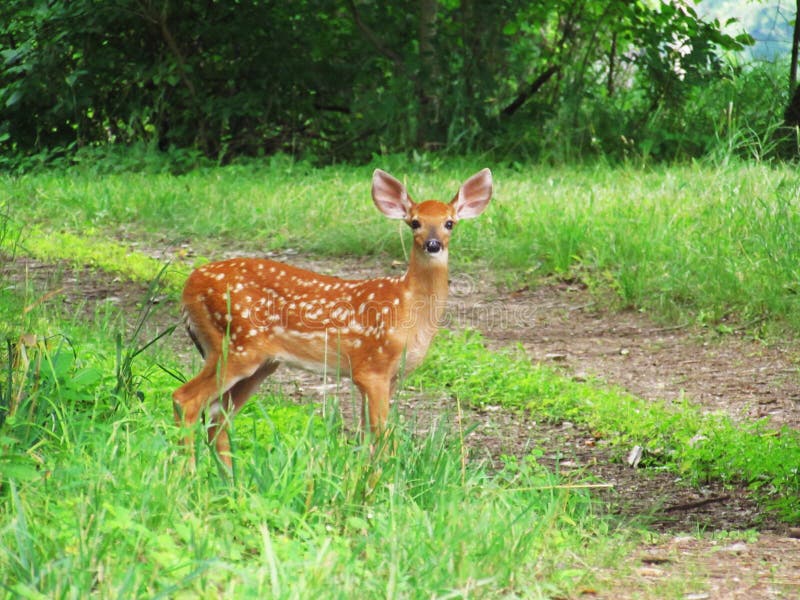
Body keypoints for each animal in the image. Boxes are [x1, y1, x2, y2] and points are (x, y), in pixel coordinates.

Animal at [172, 168, 493, 468]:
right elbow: (383, 437)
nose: (433, 244)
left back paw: (229, 480)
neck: (408, 309)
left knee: (216, 416)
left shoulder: (390, 377)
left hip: (260, 363)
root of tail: (189, 286)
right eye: (415, 222)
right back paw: (189, 474)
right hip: (235, 345)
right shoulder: (371, 367)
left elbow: (368, 439)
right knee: (186, 400)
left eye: (449, 222)